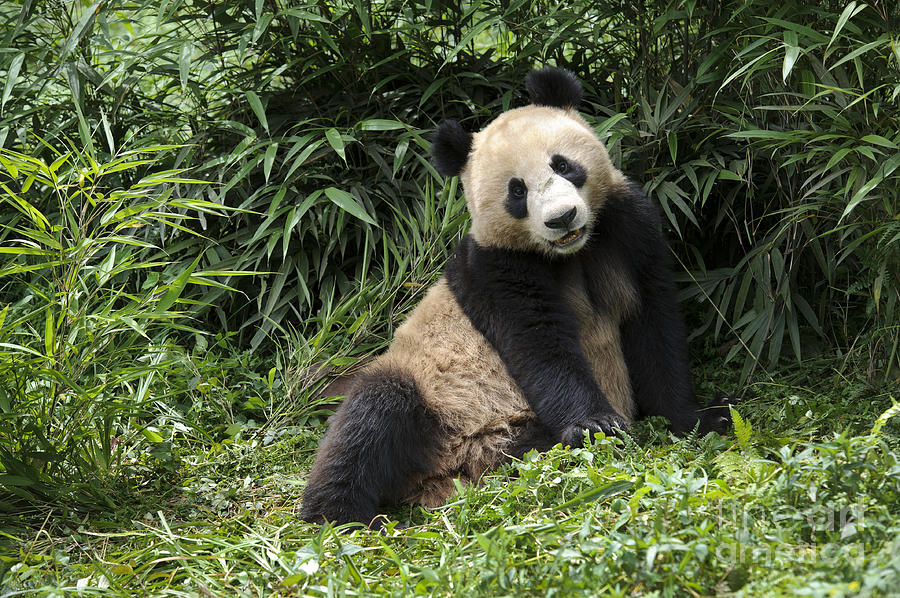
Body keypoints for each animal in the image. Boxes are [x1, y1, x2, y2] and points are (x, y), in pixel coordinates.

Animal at [299, 67, 732, 527]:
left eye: (563, 165)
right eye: (517, 191)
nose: (562, 218)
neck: (572, 254)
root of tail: (448, 470)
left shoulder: (631, 232)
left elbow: (653, 327)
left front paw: (702, 416)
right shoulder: (495, 269)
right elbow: (540, 345)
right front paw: (596, 425)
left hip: (520, 435)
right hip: (433, 396)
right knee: (373, 412)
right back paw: (341, 516)